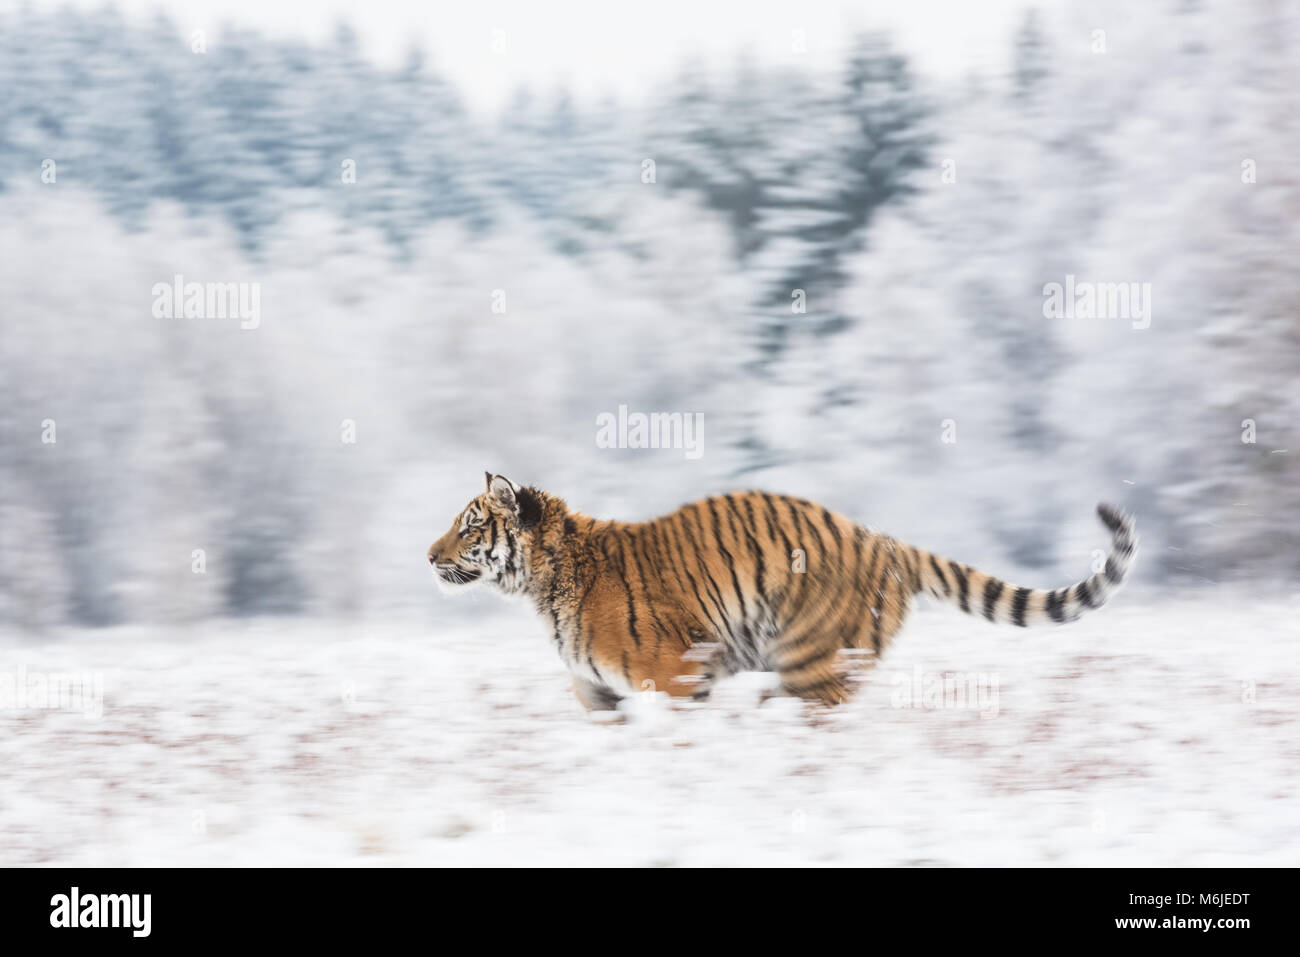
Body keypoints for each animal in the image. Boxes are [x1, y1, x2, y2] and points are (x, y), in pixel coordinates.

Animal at [428, 473, 1137, 711]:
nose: (429, 556)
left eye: (469, 526)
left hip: (809, 658)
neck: (544, 581)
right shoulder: (598, 691)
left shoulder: (671, 676)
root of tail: (882, 540)